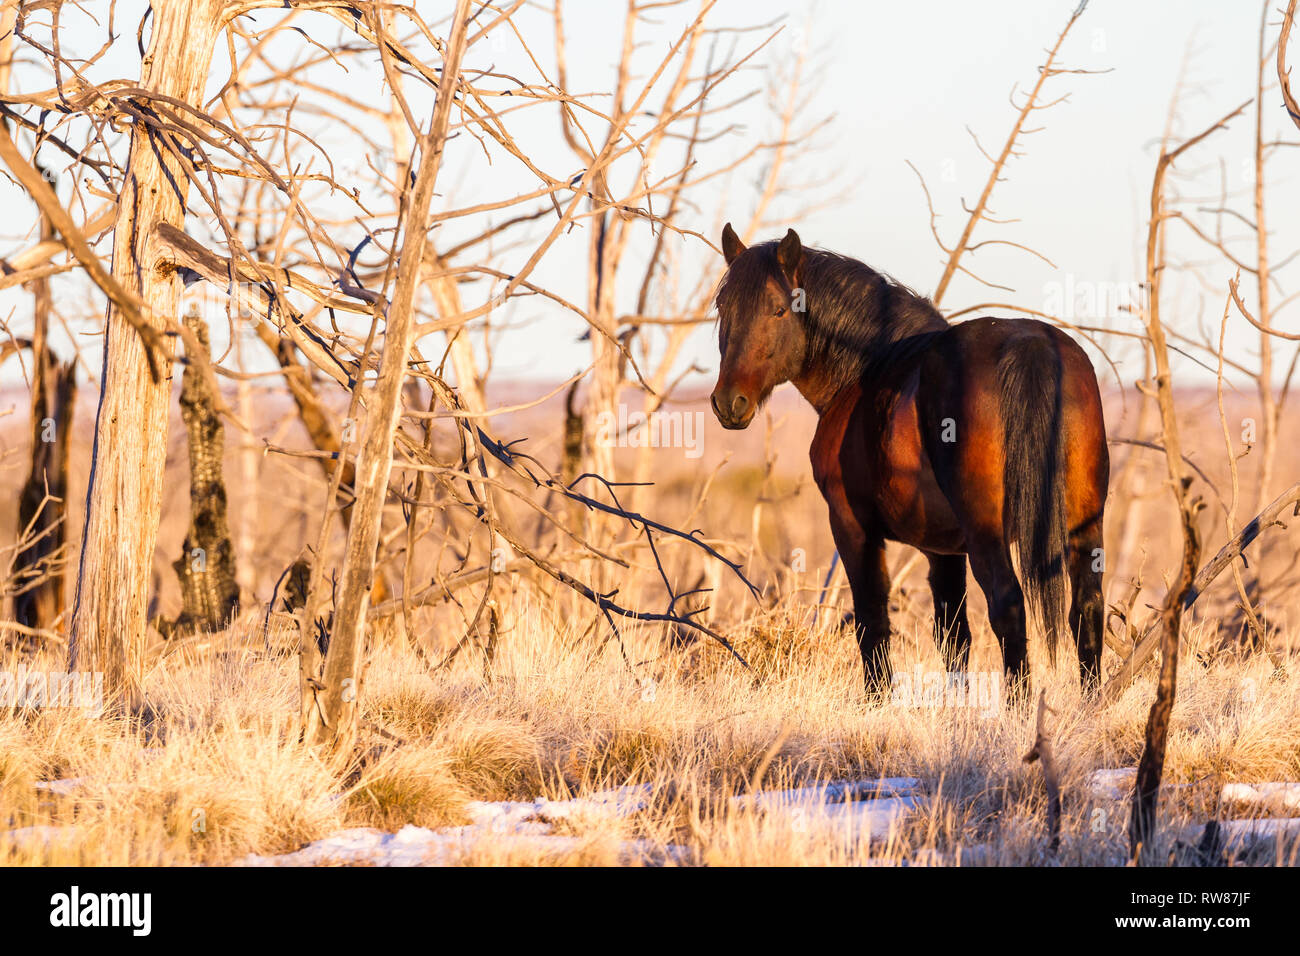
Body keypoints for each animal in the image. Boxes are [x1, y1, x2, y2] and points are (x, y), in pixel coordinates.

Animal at [709, 224, 1108, 701]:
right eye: (723, 307)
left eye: (777, 309)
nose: (729, 403)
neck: (863, 373)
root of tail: (1029, 343)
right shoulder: (944, 551)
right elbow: (953, 635)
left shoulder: (852, 526)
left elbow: (872, 620)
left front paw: (877, 699)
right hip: (1082, 526)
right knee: (1087, 608)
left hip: (988, 535)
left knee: (1009, 607)